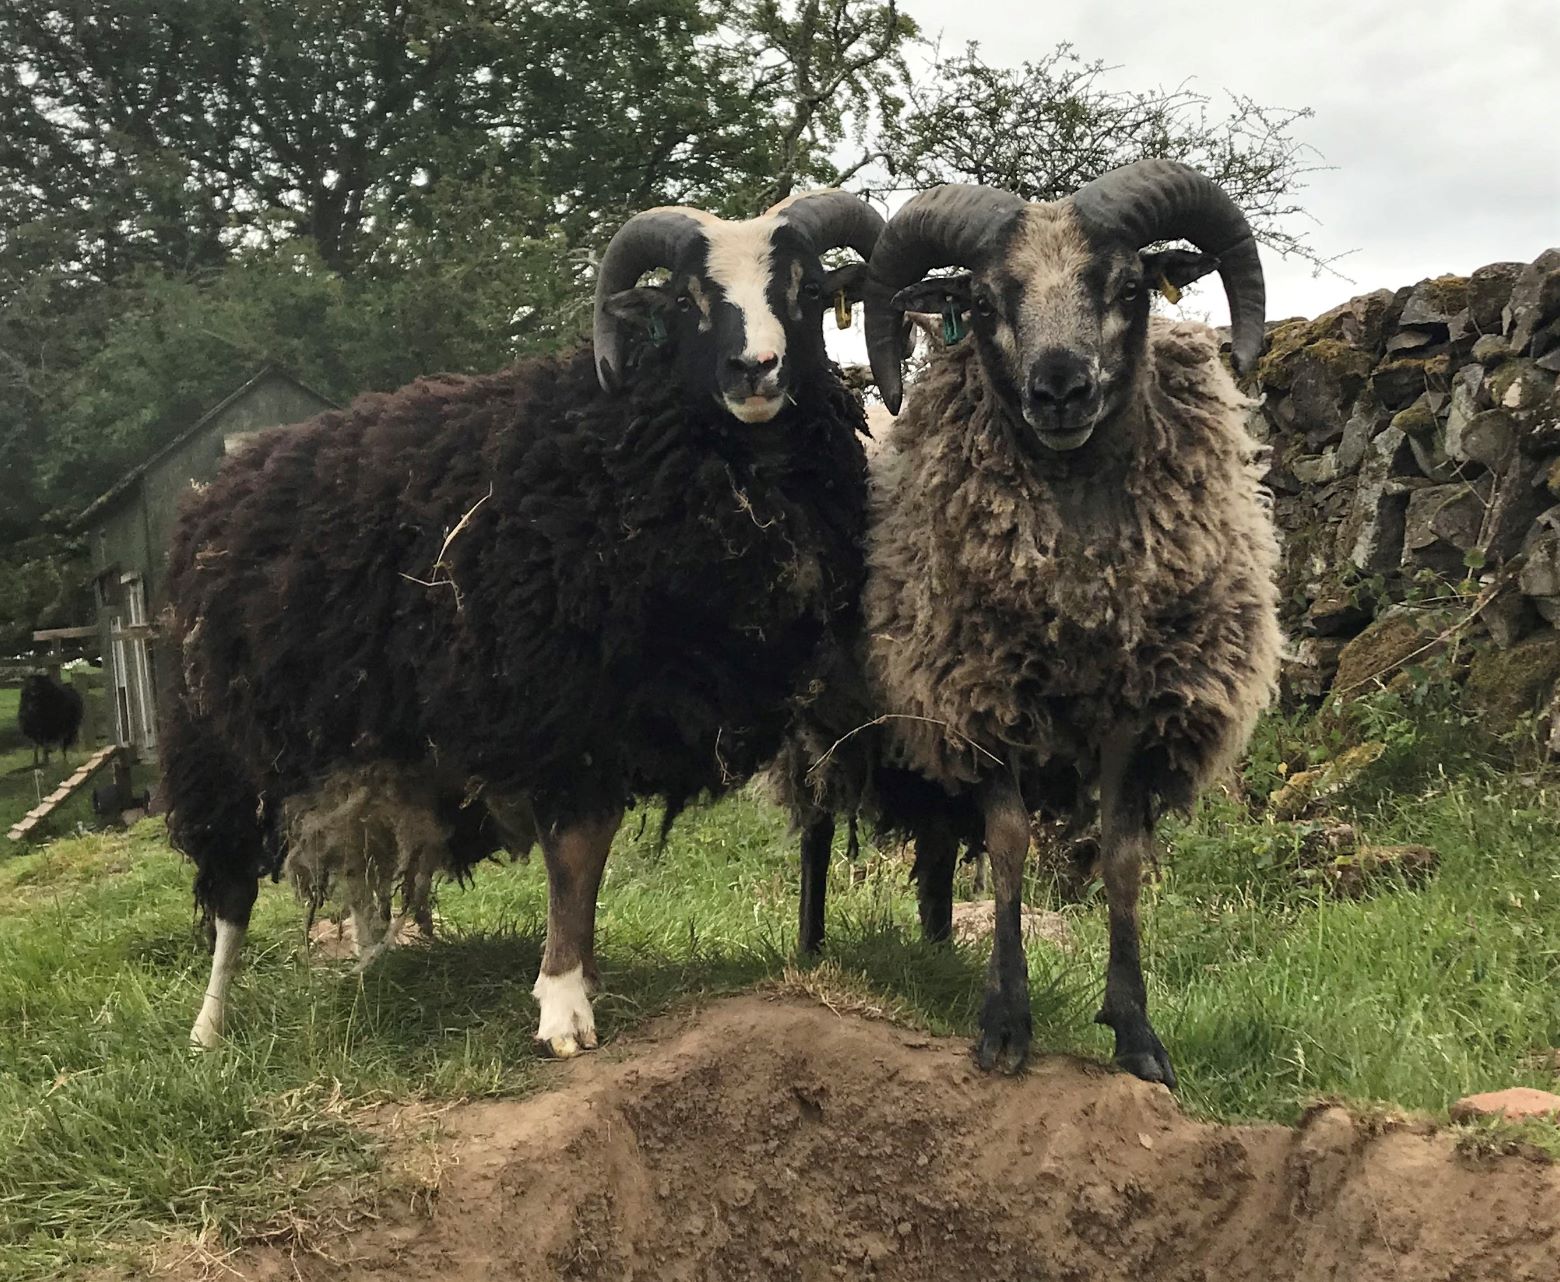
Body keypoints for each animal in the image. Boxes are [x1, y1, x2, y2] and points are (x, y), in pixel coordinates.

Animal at [162, 190, 884, 1053]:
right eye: (687, 299)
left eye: (806, 291)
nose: (755, 371)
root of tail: (222, 486)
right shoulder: (560, 710)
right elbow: (575, 856)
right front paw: (564, 1005)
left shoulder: (623, 714)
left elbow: (585, 856)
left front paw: (579, 981)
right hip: (218, 749)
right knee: (231, 894)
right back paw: (208, 1028)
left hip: (359, 749)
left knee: (361, 861)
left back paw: (374, 967)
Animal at [792, 160, 1282, 1086]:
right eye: (984, 302)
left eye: (1128, 286)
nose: (1060, 388)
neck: (1080, 596)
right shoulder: (979, 696)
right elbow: (1011, 842)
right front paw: (1006, 1022)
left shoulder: (1139, 708)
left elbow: (1121, 862)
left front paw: (1137, 1034)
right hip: (820, 721)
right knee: (817, 826)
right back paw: (808, 952)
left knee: (935, 846)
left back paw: (939, 952)